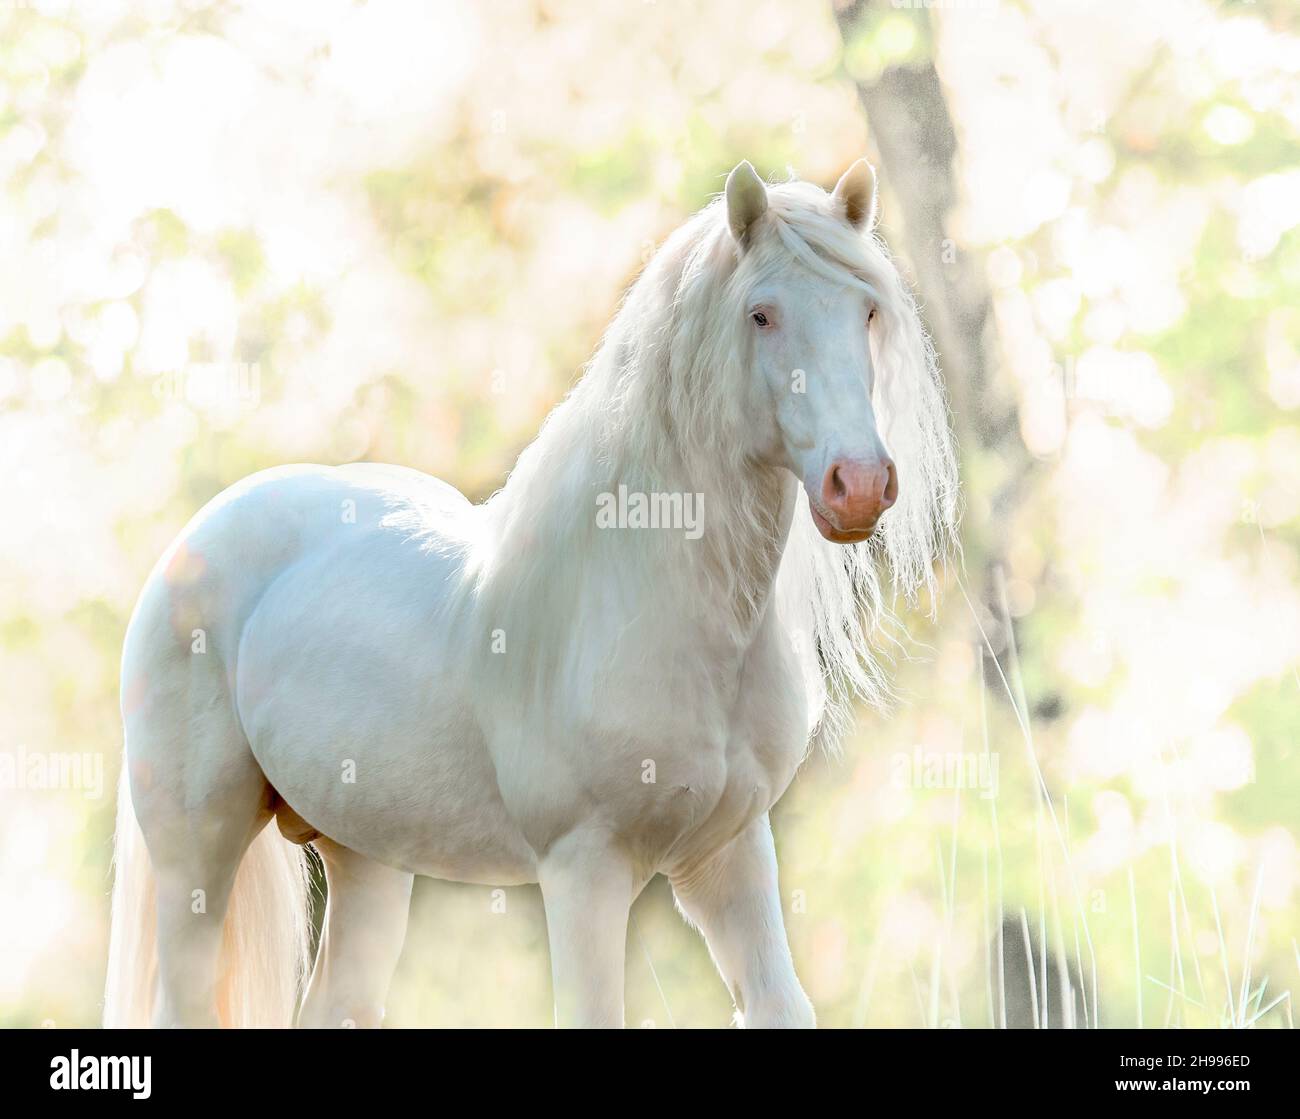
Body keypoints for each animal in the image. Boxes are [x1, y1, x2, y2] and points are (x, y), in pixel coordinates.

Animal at [103, 158, 958, 1029]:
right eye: (762, 314)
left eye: (866, 310)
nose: (859, 485)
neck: (652, 606)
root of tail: (194, 542)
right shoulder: (585, 870)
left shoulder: (729, 855)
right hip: (195, 859)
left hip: (368, 859)